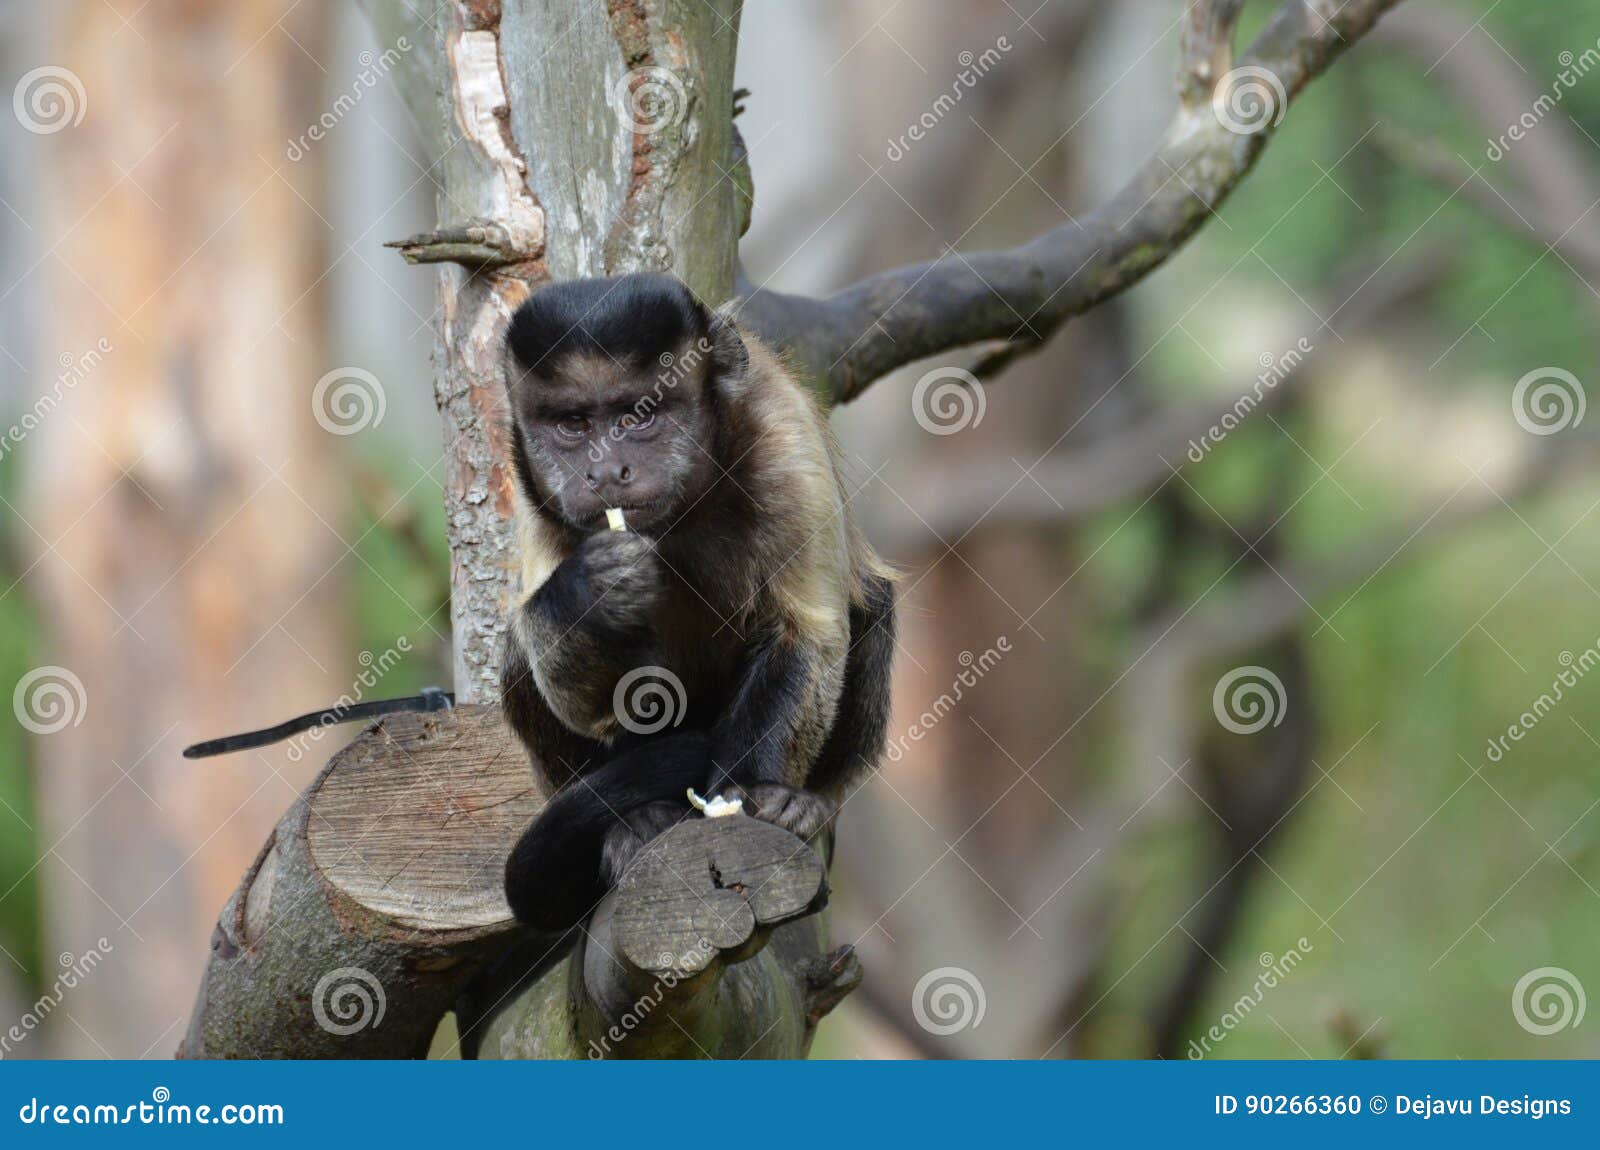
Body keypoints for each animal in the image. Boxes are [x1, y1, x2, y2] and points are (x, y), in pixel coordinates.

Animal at [494, 272, 898, 939]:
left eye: (640, 413)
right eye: (572, 424)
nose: (605, 472)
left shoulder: (781, 431)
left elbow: (806, 632)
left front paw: (751, 800)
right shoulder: (533, 489)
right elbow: (575, 699)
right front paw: (589, 592)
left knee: (871, 607)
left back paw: (808, 803)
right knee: (519, 653)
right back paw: (630, 824)